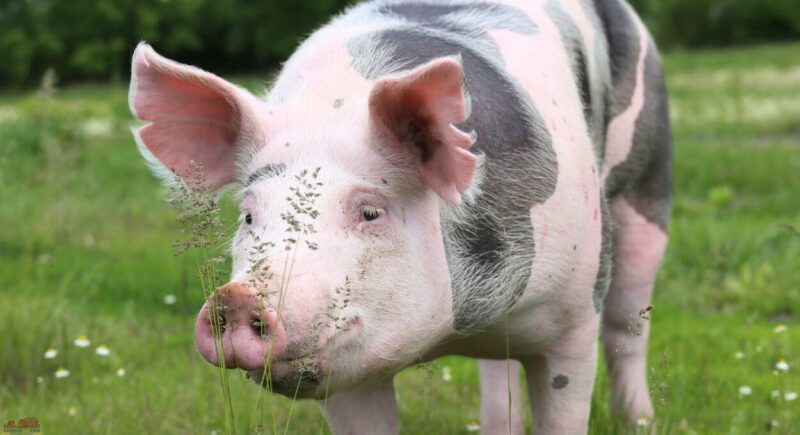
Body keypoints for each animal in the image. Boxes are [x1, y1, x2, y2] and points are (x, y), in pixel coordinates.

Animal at [129, 0, 670, 433]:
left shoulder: (574, 318)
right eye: (247, 216)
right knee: (500, 370)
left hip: (646, 174)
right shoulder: (337, 370)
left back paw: (640, 420)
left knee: (627, 322)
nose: (239, 299)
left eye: (371, 211)